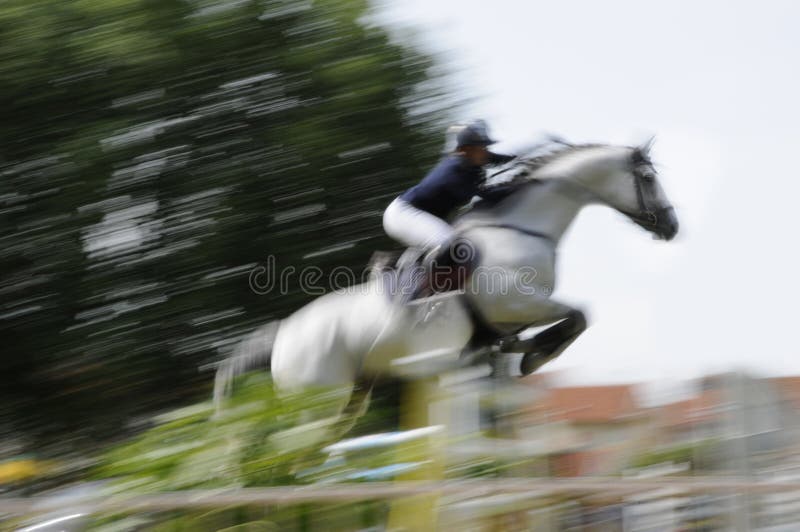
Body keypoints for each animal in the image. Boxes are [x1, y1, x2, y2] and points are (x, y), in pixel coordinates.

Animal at [214, 140, 679, 426]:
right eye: (649, 178)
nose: (672, 227)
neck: (523, 229)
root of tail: (282, 336)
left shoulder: (518, 315)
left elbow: (568, 322)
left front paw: (523, 351)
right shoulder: (518, 303)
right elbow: (580, 315)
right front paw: (535, 357)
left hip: (351, 398)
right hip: (319, 398)